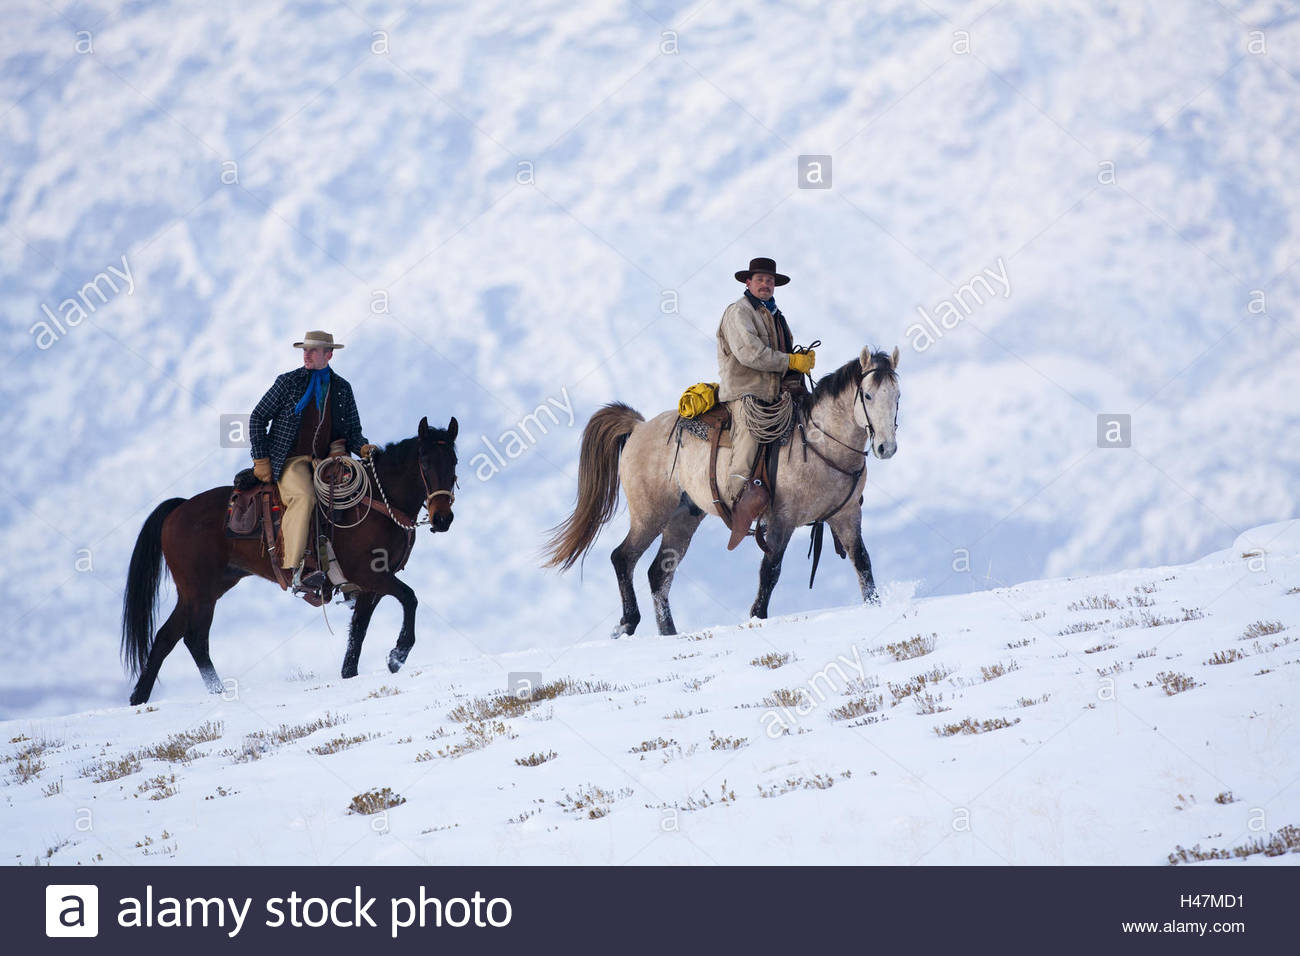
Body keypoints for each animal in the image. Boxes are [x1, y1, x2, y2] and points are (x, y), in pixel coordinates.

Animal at [121, 416, 458, 705]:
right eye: (424, 461)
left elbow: (358, 632)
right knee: (194, 639)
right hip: (199, 592)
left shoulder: (367, 587)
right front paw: (398, 655)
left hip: (204, 590)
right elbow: (409, 598)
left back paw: (142, 698)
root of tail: (179, 508)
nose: (442, 518)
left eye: (453, 462)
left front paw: (352, 672)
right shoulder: (372, 575)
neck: (376, 503)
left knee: (168, 638)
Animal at [543, 347, 899, 636]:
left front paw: (874, 606)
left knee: (658, 574)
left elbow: (862, 562)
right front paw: (757, 617)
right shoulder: (782, 520)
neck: (818, 444)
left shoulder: (847, 515)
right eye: (868, 396)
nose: (886, 448)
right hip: (650, 514)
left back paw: (668, 633)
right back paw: (628, 623)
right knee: (623, 558)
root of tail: (639, 427)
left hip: (683, 518)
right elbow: (770, 572)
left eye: (897, 396)